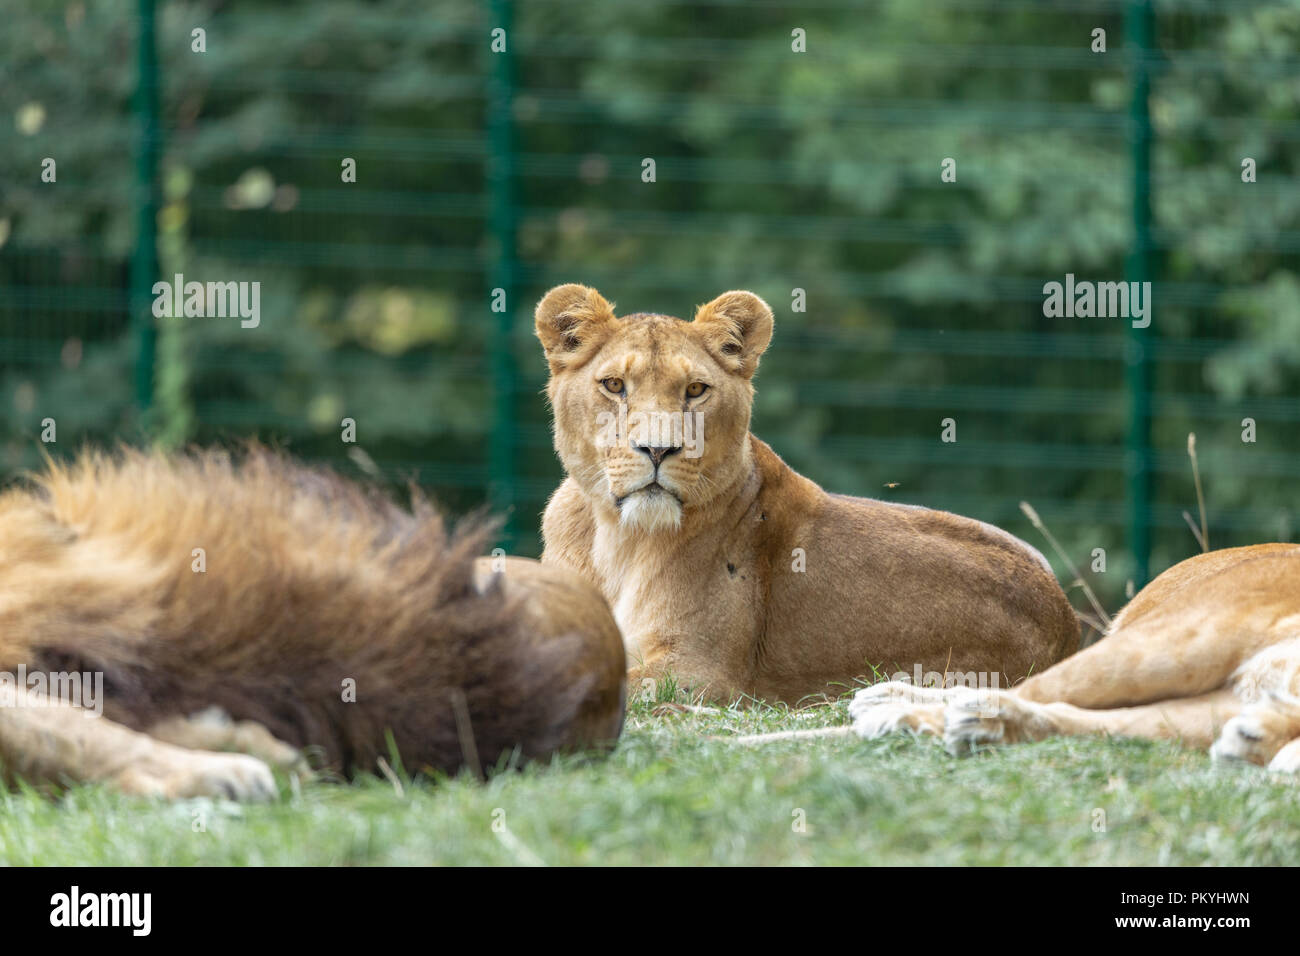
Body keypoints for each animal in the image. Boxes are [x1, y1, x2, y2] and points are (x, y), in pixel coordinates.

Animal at [534, 284, 1079, 703]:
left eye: (695, 391)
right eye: (613, 385)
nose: (658, 448)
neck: (617, 539)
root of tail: (1067, 620)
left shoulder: (700, 672)